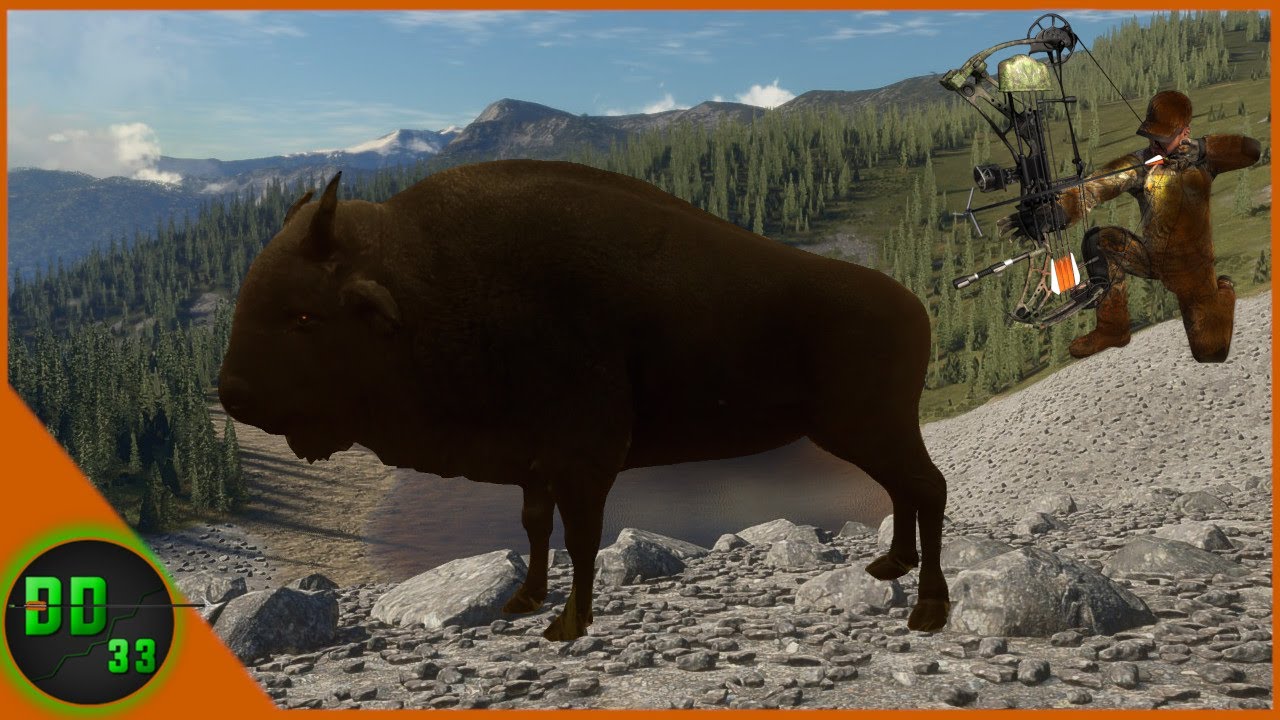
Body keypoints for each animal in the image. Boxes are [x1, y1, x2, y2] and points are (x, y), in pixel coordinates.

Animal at [218, 160, 950, 640]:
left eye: (305, 316)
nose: (231, 395)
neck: (424, 281)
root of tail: (914, 303)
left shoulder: (583, 461)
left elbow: (581, 537)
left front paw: (567, 625)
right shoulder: (535, 465)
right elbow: (535, 529)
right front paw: (523, 601)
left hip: (866, 426)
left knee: (928, 486)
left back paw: (927, 610)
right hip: (867, 431)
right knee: (906, 487)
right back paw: (892, 565)